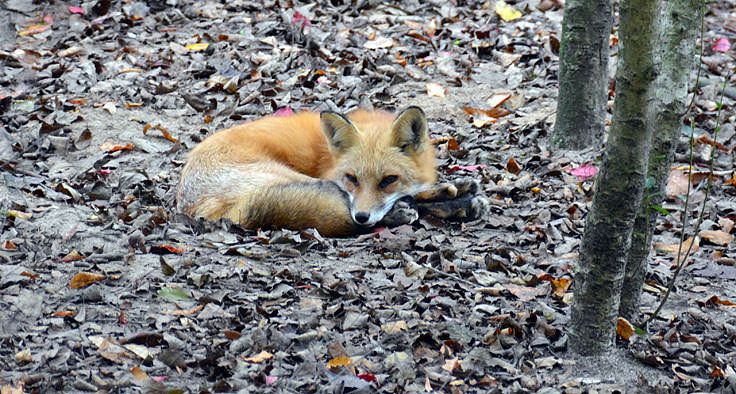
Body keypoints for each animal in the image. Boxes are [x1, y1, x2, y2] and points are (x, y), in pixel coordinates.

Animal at [177, 106, 488, 237]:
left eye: (388, 180)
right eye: (352, 178)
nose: (362, 216)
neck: (327, 156)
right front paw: (454, 197)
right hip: (297, 181)